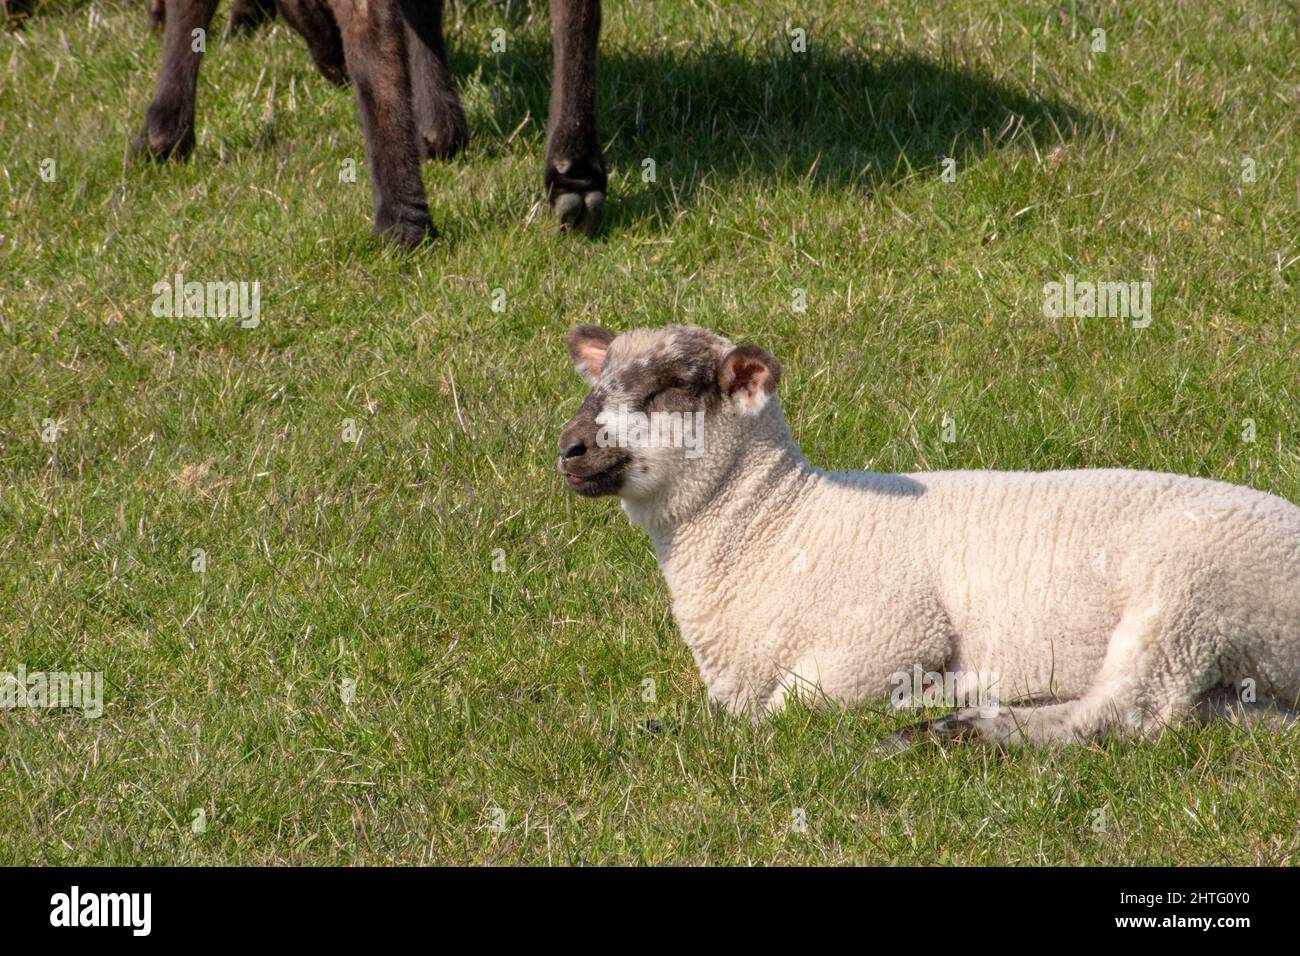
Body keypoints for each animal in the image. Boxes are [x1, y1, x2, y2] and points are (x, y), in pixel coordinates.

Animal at [556, 323, 1300, 746]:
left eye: (669, 388)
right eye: (598, 380)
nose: (568, 448)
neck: (776, 522)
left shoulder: (890, 633)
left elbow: (789, 707)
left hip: (1188, 600)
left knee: (1126, 713)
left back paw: (954, 729)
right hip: (1233, 670)